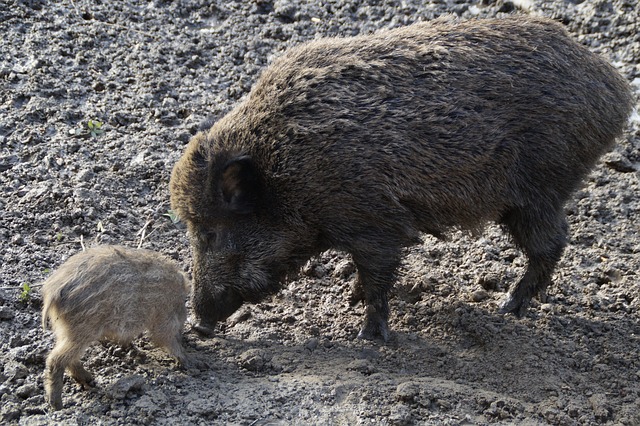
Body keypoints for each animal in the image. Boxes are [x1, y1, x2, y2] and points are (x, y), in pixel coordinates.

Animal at [41, 245, 190, 410]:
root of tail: (53, 291)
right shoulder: (163, 318)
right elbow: (167, 339)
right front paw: (188, 362)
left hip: (66, 330)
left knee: (68, 358)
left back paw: (89, 381)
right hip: (82, 329)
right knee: (56, 358)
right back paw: (57, 405)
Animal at [169, 16, 633, 342]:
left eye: (209, 232)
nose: (198, 326)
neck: (283, 173)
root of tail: (616, 88)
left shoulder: (372, 220)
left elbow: (379, 275)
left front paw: (368, 336)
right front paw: (351, 299)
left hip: (537, 189)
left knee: (551, 243)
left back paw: (508, 307)